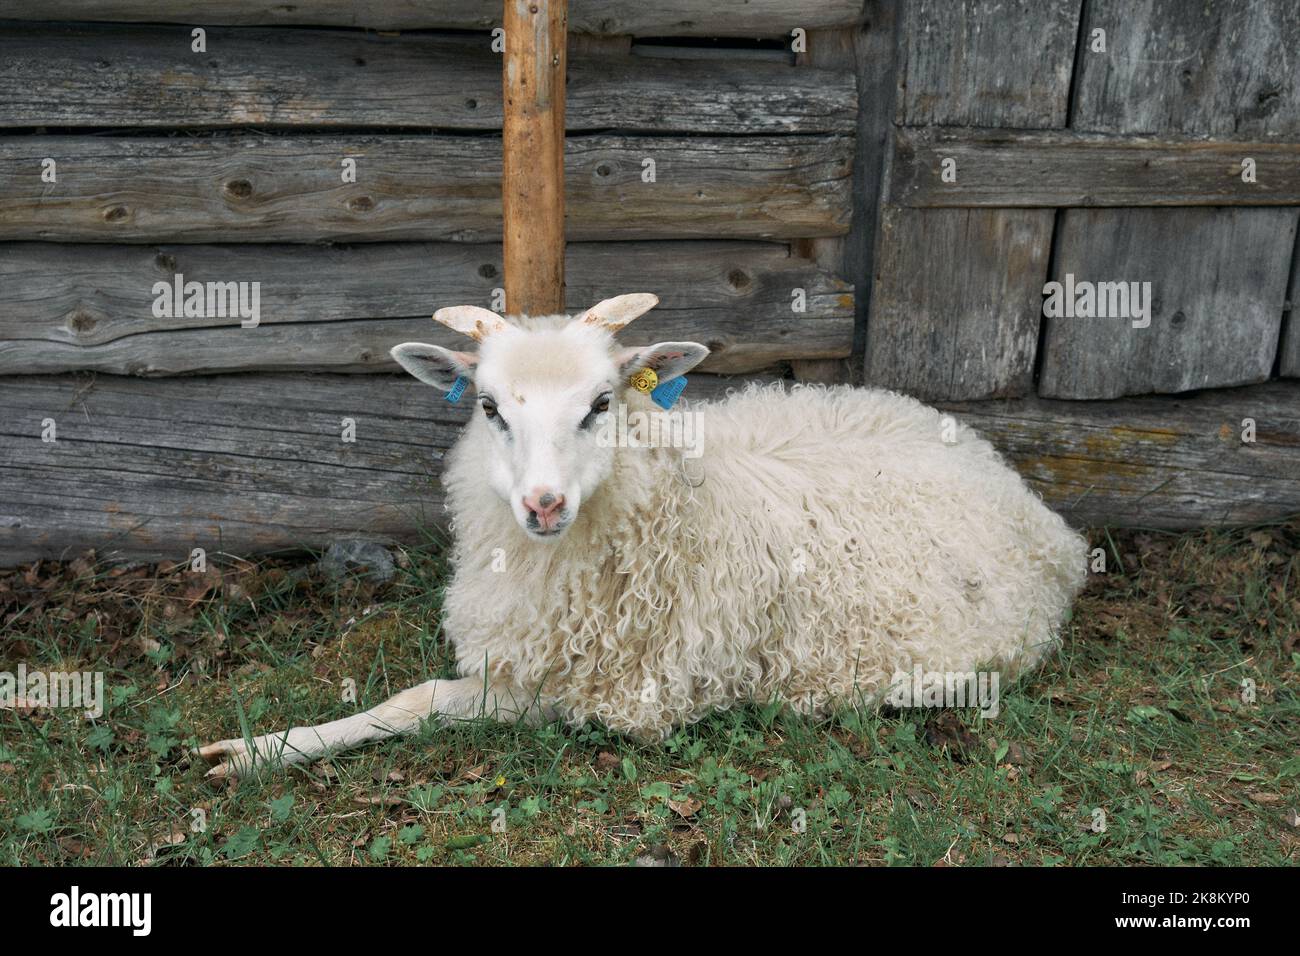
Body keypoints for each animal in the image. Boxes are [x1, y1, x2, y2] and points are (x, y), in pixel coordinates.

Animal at [197, 294, 1087, 779]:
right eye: (489, 407)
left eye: (601, 402)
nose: (543, 505)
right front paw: (264, 746)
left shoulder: (603, 689)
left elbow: (423, 700)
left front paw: (268, 749)